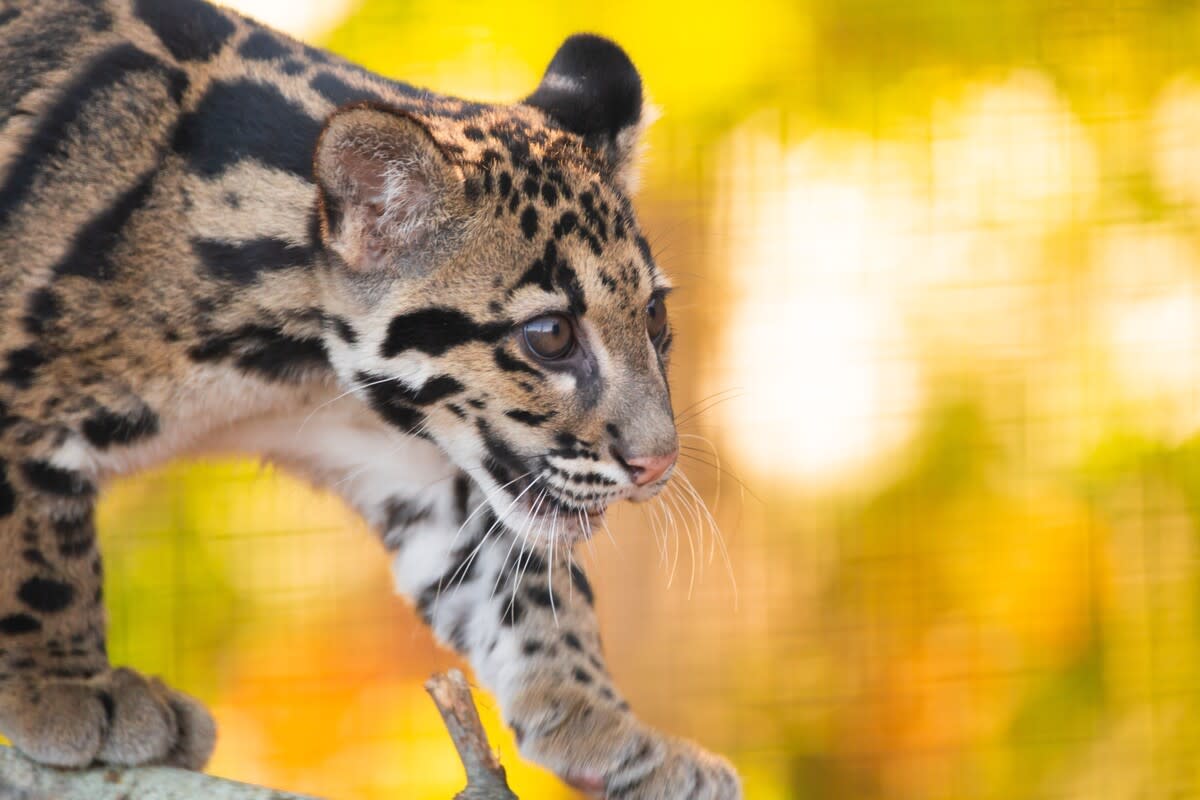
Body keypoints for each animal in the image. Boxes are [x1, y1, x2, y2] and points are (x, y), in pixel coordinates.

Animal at [0, 0, 741, 797]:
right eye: (550, 335)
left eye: (655, 316)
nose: (658, 464)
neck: (293, 365)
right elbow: (35, 547)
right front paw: (66, 685)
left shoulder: (408, 460)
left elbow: (514, 582)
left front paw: (610, 728)